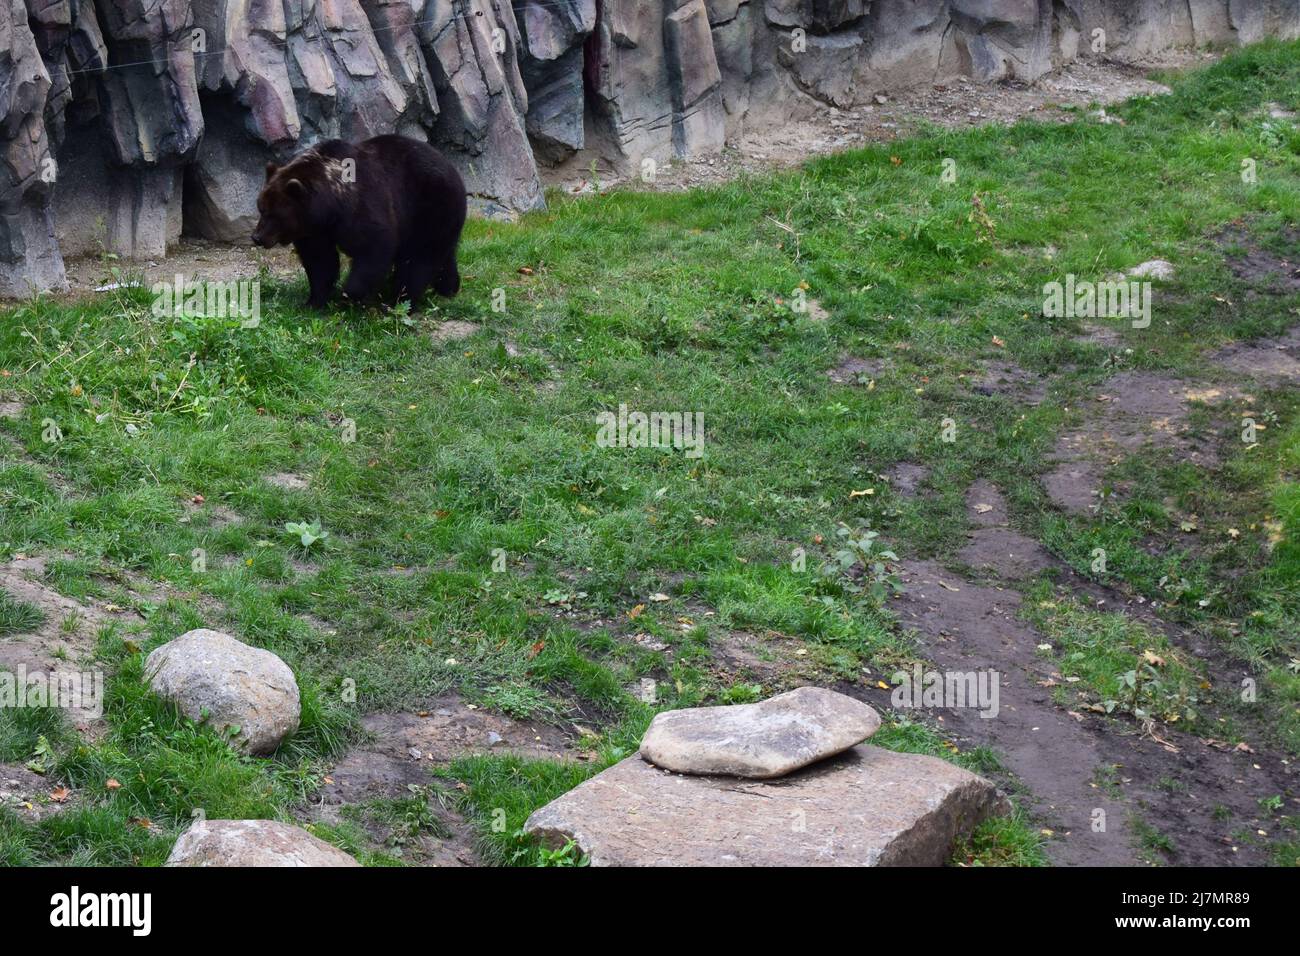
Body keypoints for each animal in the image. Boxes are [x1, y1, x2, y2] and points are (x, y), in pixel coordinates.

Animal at [251, 135, 467, 309]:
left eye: (274, 215)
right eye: (261, 208)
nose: (257, 237)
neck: (331, 207)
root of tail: (454, 170)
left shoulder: (363, 206)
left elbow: (374, 246)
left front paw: (349, 295)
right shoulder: (315, 230)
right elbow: (319, 260)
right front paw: (313, 301)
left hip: (429, 207)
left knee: (419, 258)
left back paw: (400, 301)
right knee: (443, 253)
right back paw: (448, 287)